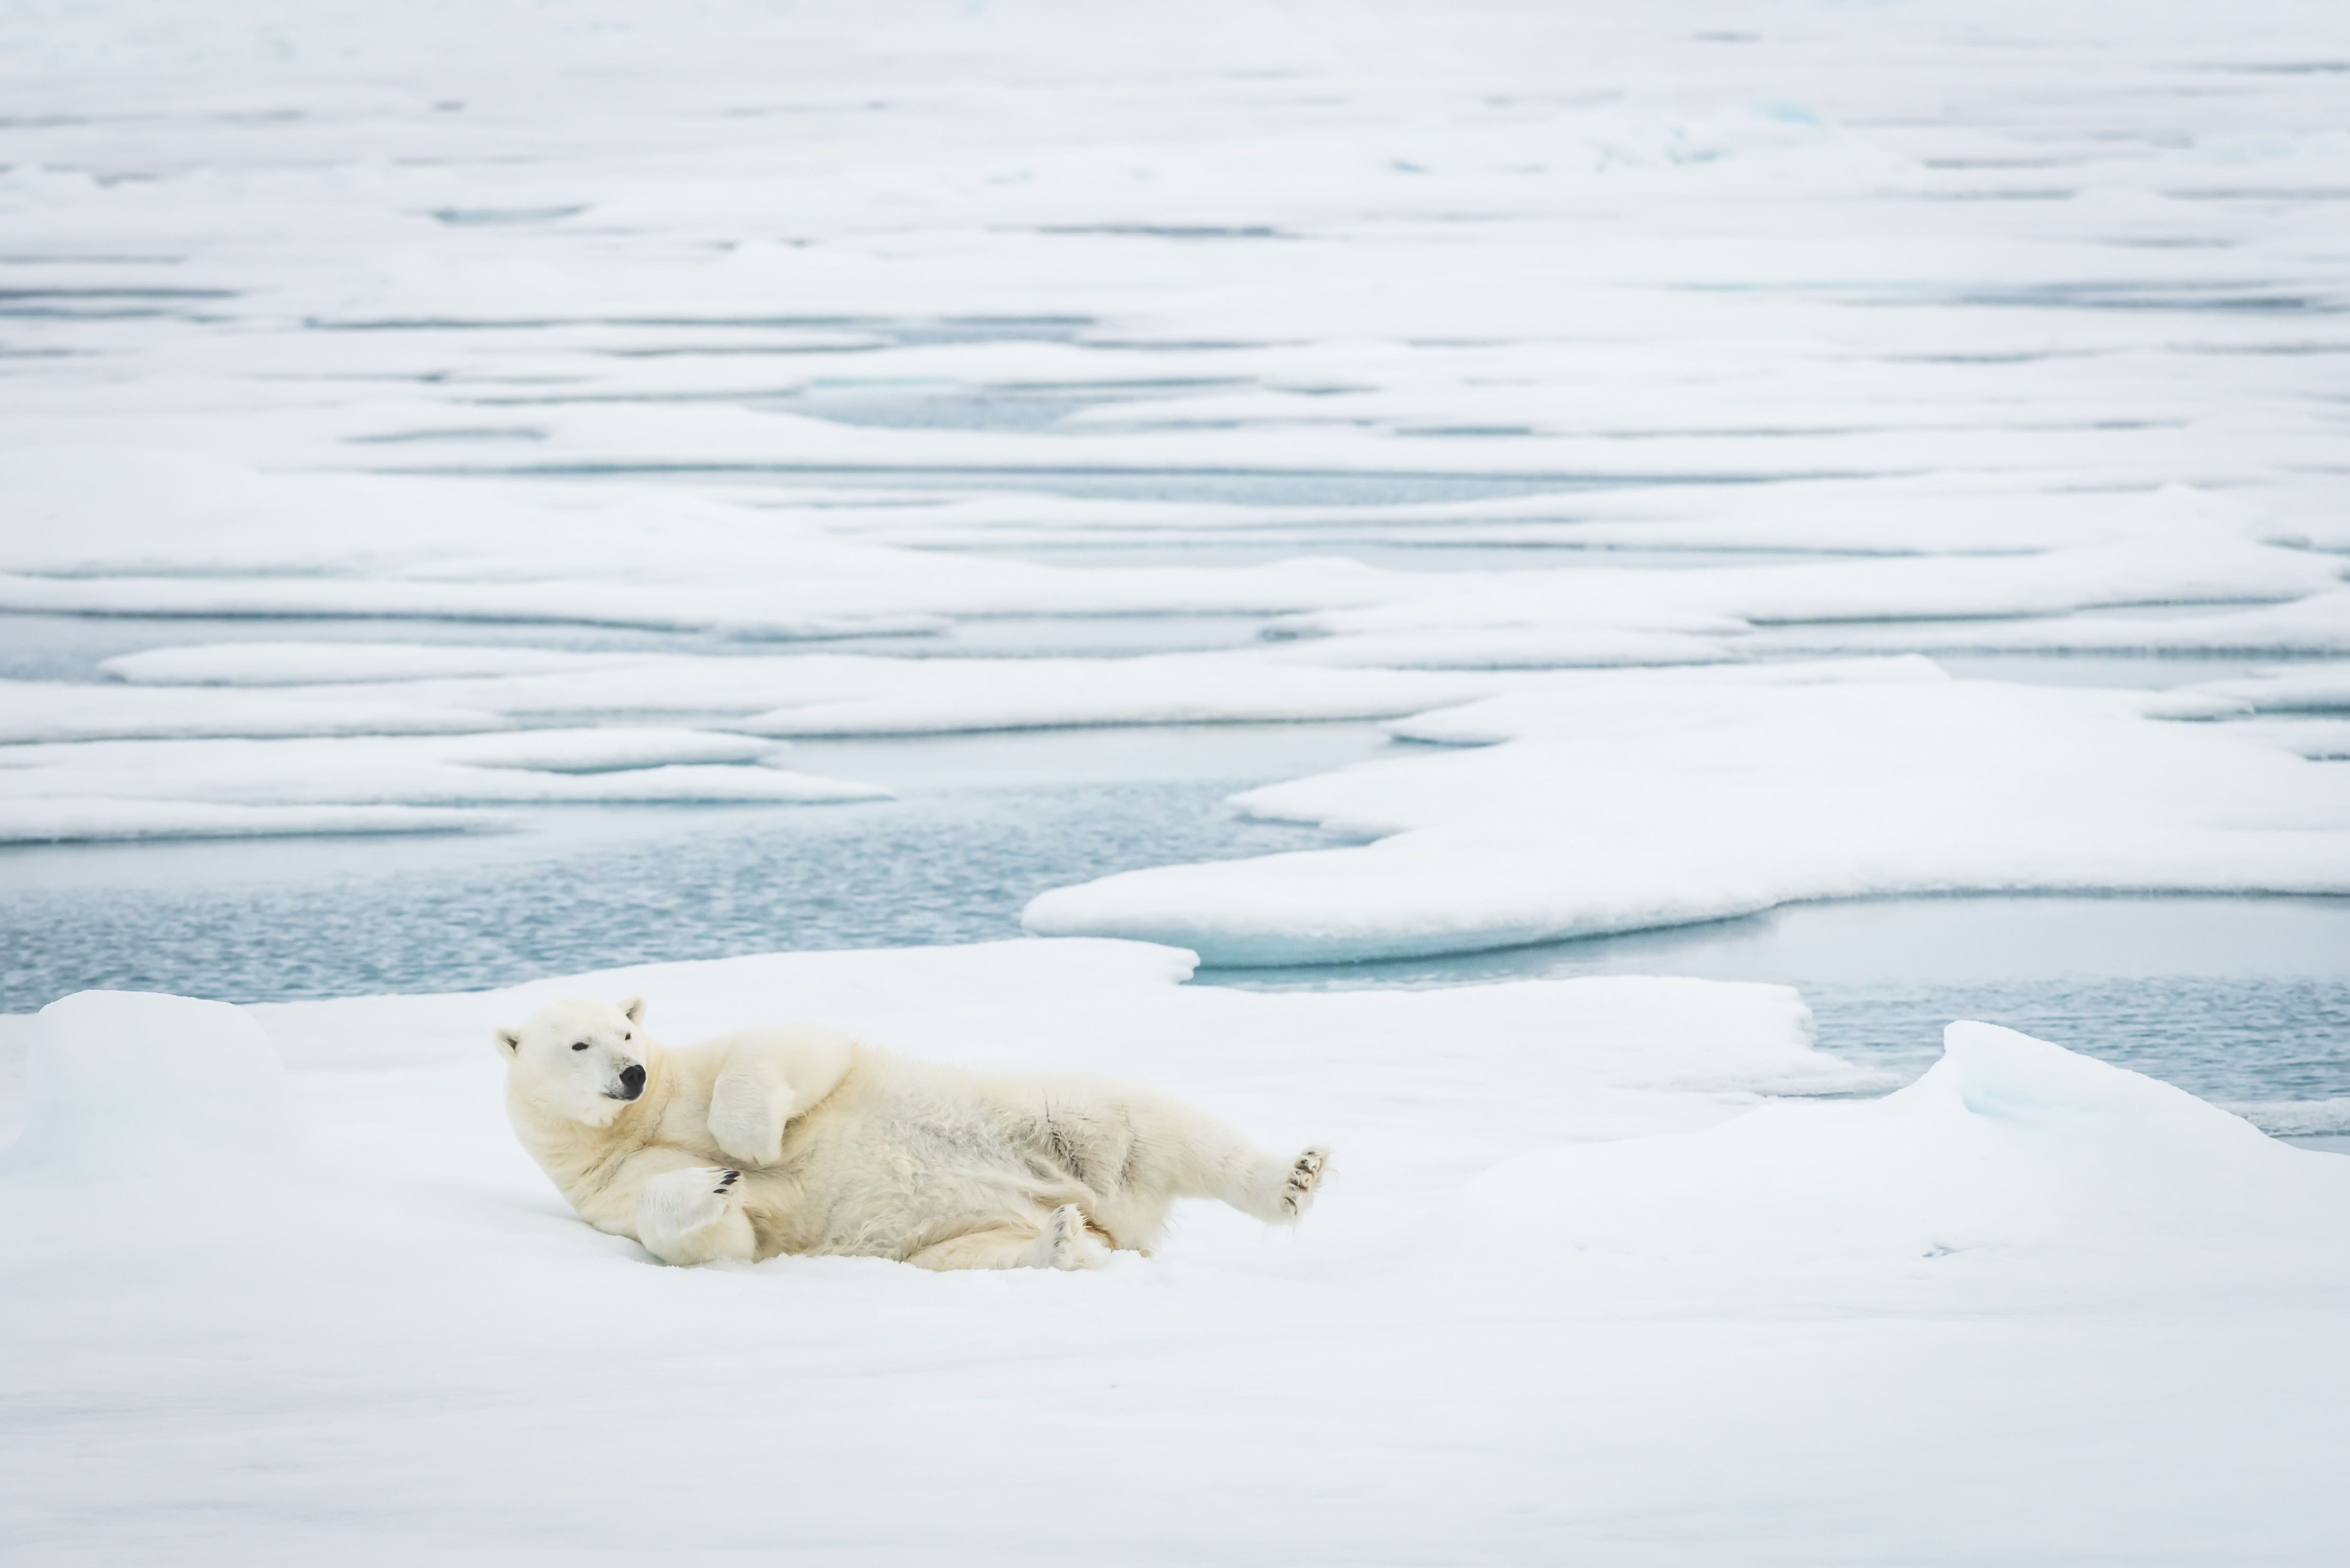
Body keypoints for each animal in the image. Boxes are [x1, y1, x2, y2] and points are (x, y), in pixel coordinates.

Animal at [494, 994, 1330, 1270]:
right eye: (579, 1044)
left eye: (626, 1033)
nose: (630, 1073)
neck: (635, 1122)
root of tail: (1120, 1221)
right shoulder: (603, 1189)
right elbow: (709, 1235)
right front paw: (716, 1181)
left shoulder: (697, 1069)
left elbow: (791, 1047)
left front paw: (747, 1148)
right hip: (954, 1232)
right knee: (976, 1255)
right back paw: (1059, 1242)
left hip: (1054, 1128)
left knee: (1144, 1123)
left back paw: (1292, 1176)